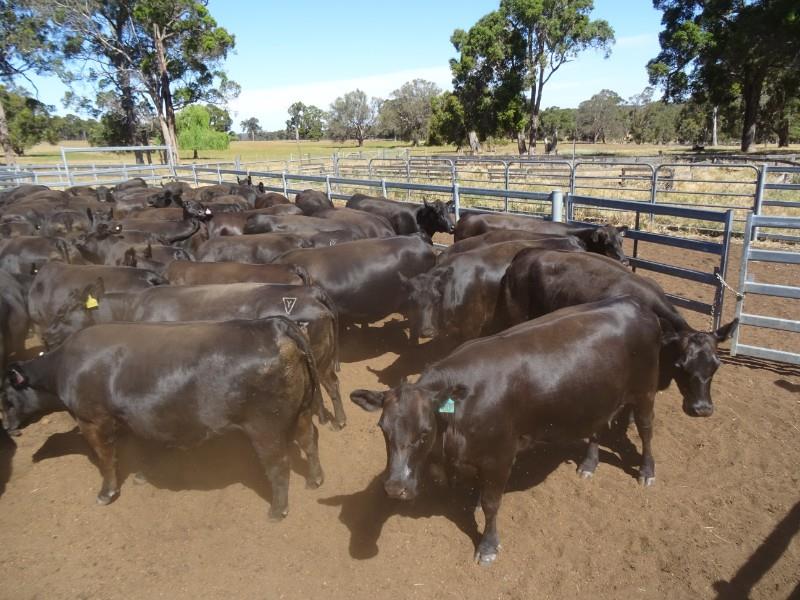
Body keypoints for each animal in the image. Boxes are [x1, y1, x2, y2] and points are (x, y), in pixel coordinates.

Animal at [3, 317, 323, 519]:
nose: (6, 427)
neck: (63, 368)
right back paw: (315, 480)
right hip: (303, 411)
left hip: (264, 427)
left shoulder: (92, 420)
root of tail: (274, 324)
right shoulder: (132, 420)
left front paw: (106, 493)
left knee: (278, 465)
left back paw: (277, 511)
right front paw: (142, 474)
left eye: (5, 397)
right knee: (309, 440)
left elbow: (106, 460)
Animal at [351, 297, 670, 564]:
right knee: (598, 427)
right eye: (383, 428)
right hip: (598, 398)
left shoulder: (500, 457)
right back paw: (589, 464)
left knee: (646, 429)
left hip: (645, 392)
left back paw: (647, 470)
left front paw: (488, 546)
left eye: (424, 432)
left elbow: (492, 503)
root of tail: (634, 303)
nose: (395, 487)